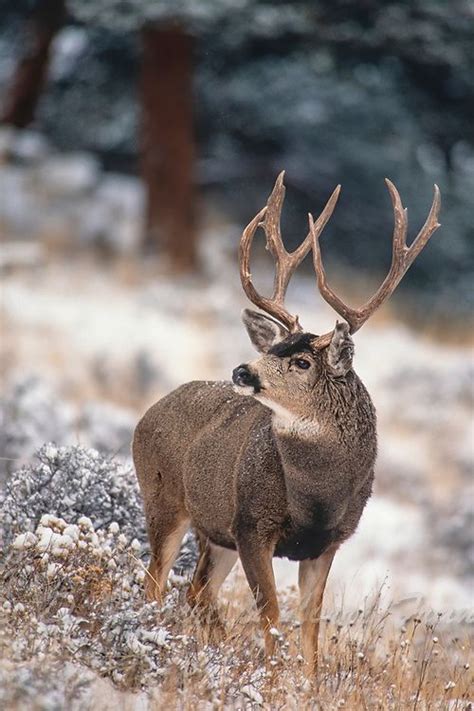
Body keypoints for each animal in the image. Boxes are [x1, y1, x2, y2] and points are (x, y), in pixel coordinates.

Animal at [132, 172, 440, 674]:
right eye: (273, 348)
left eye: (300, 361)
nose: (242, 371)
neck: (315, 495)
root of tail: (149, 411)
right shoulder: (252, 525)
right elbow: (272, 615)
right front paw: (273, 679)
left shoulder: (328, 542)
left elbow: (310, 625)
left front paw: (308, 682)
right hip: (164, 498)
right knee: (156, 581)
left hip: (215, 532)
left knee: (196, 591)